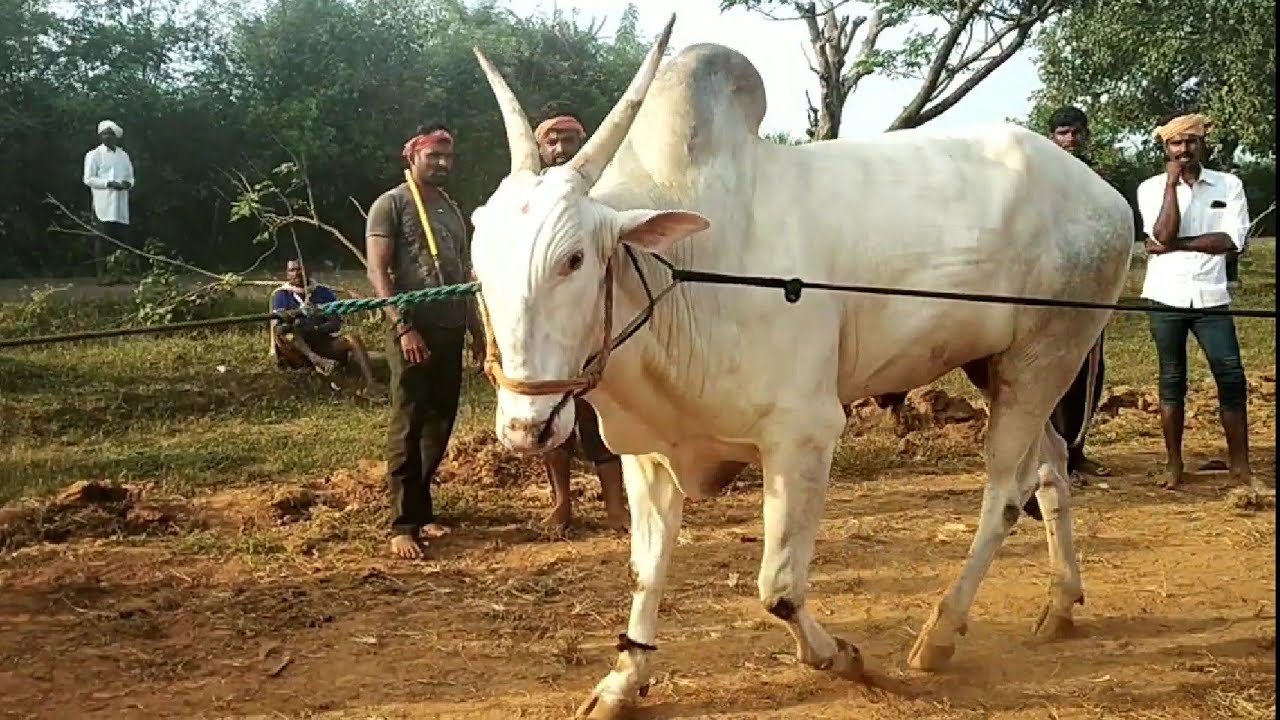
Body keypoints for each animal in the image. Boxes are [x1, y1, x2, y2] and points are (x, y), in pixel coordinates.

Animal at [468, 15, 1133, 719]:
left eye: (573, 259)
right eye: (480, 261)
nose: (526, 427)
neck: (684, 277)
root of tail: (1106, 196)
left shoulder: (804, 434)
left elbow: (779, 587)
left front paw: (845, 658)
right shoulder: (649, 454)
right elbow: (645, 571)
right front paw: (623, 681)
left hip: (1047, 355)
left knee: (1007, 489)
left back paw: (940, 632)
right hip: (1003, 366)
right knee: (1051, 464)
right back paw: (1061, 604)